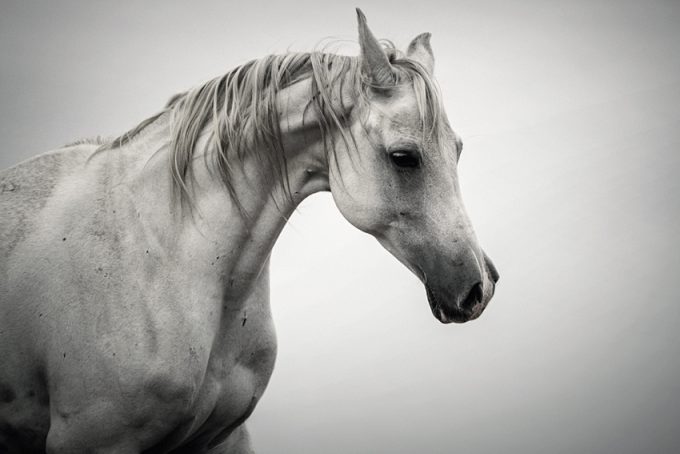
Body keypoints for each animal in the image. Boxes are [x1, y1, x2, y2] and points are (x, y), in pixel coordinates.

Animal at [0, 9, 499, 453]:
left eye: (457, 150)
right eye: (403, 157)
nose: (481, 287)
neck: (161, 256)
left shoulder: (224, 438)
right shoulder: (94, 440)